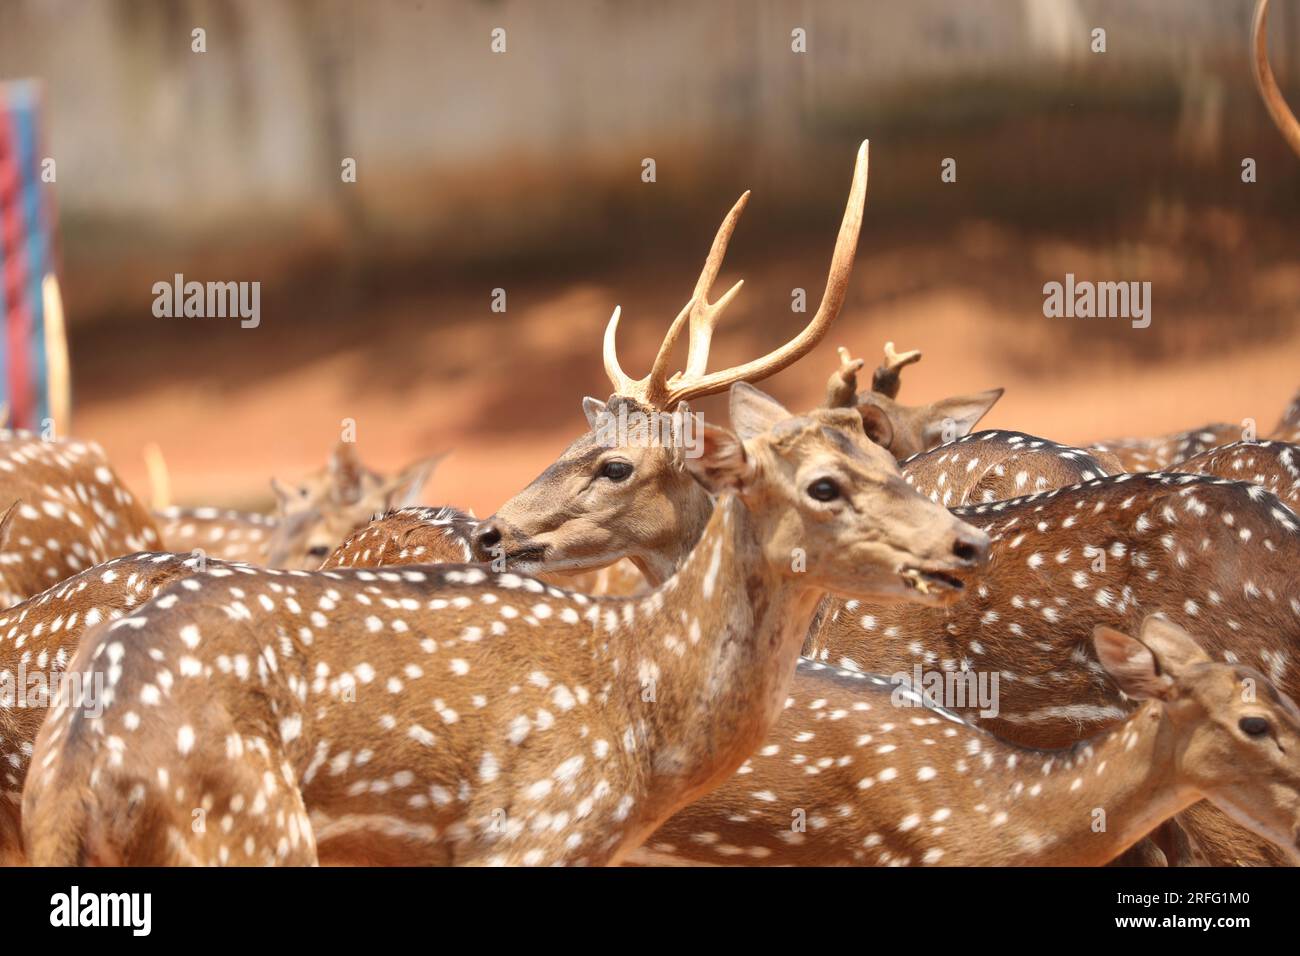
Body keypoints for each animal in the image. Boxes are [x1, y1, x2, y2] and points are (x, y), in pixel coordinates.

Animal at [19, 383, 990, 866]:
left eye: (891, 466)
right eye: (825, 484)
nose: (968, 541)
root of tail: (80, 768)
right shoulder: (531, 831)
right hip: (247, 831)